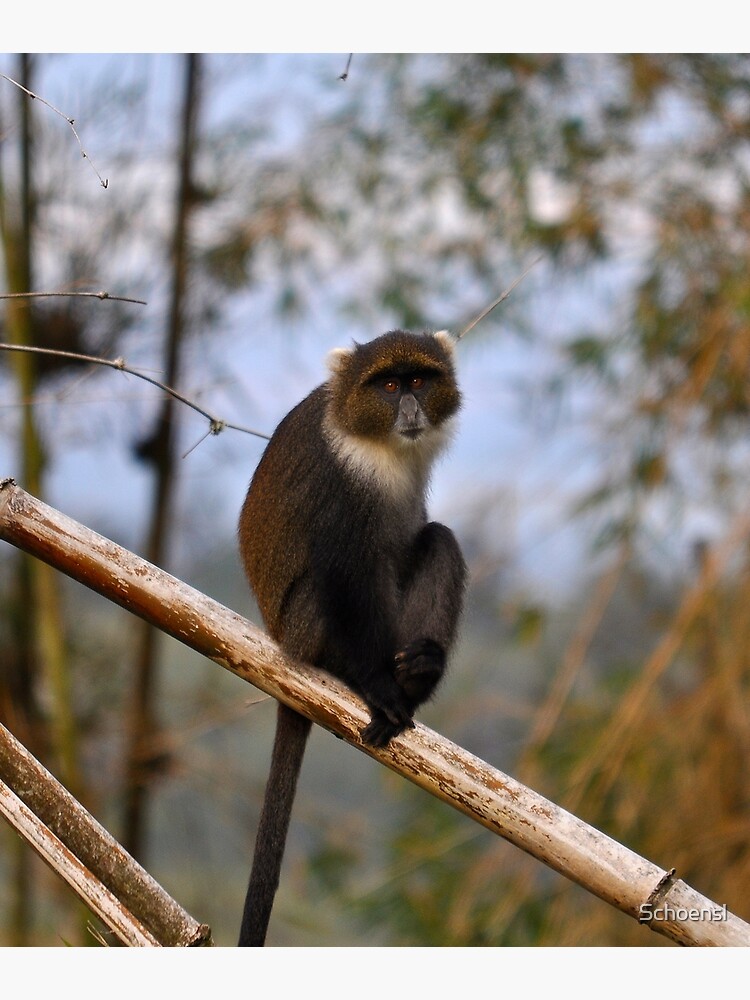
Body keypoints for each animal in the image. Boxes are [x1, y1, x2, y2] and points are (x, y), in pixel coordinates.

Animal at [237, 329, 467, 946]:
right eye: (386, 386)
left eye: (418, 380)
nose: (410, 410)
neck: (373, 441)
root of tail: (281, 644)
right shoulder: (336, 474)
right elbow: (345, 567)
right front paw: (376, 686)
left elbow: (419, 537)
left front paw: (414, 676)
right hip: (306, 630)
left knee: (438, 538)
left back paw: (418, 675)